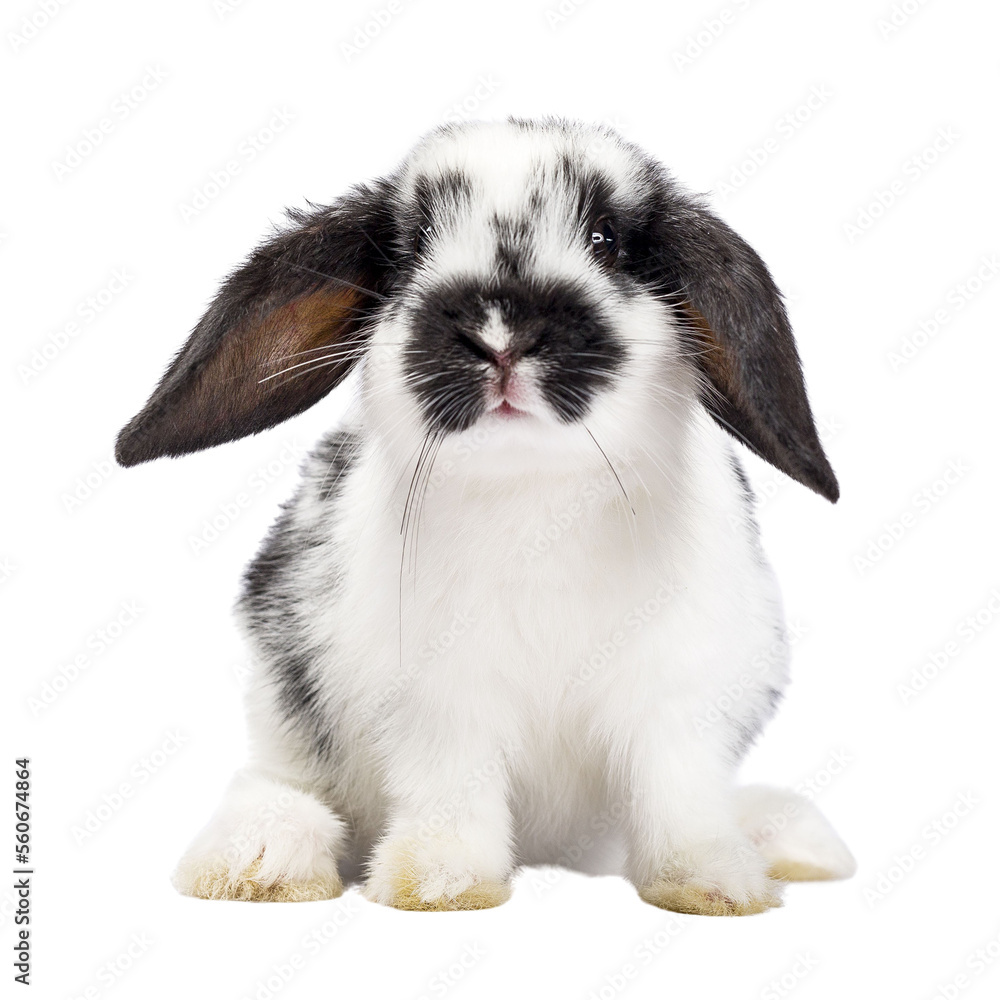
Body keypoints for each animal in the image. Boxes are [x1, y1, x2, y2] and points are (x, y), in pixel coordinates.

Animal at [116, 117, 855, 915]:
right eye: (409, 250)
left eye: (607, 239)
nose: (499, 334)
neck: (537, 496)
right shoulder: (437, 705)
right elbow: (453, 787)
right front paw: (443, 883)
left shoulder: (681, 702)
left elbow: (679, 795)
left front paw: (712, 883)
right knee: (276, 789)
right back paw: (259, 862)